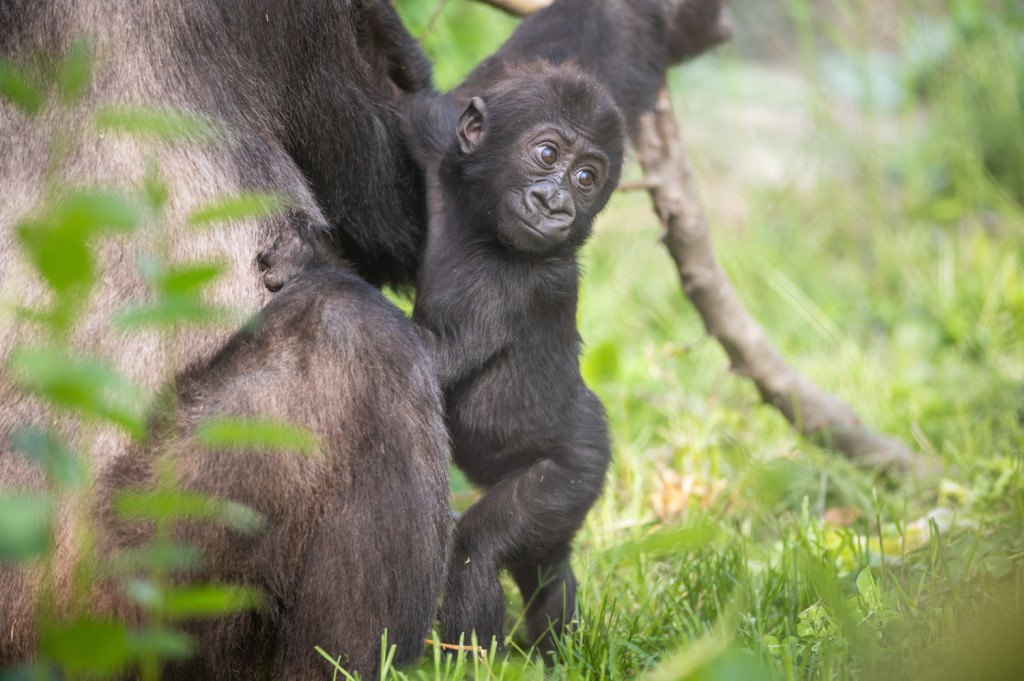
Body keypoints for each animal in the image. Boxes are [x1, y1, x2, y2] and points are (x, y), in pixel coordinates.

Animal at [407, 62, 625, 655]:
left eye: (587, 178)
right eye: (547, 154)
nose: (555, 204)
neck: (480, 227)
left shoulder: (513, 286)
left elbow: (433, 353)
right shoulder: (442, 154)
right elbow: (420, 108)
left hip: (574, 477)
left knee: (479, 550)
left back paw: (472, 660)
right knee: (546, 564)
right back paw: (559, 651)